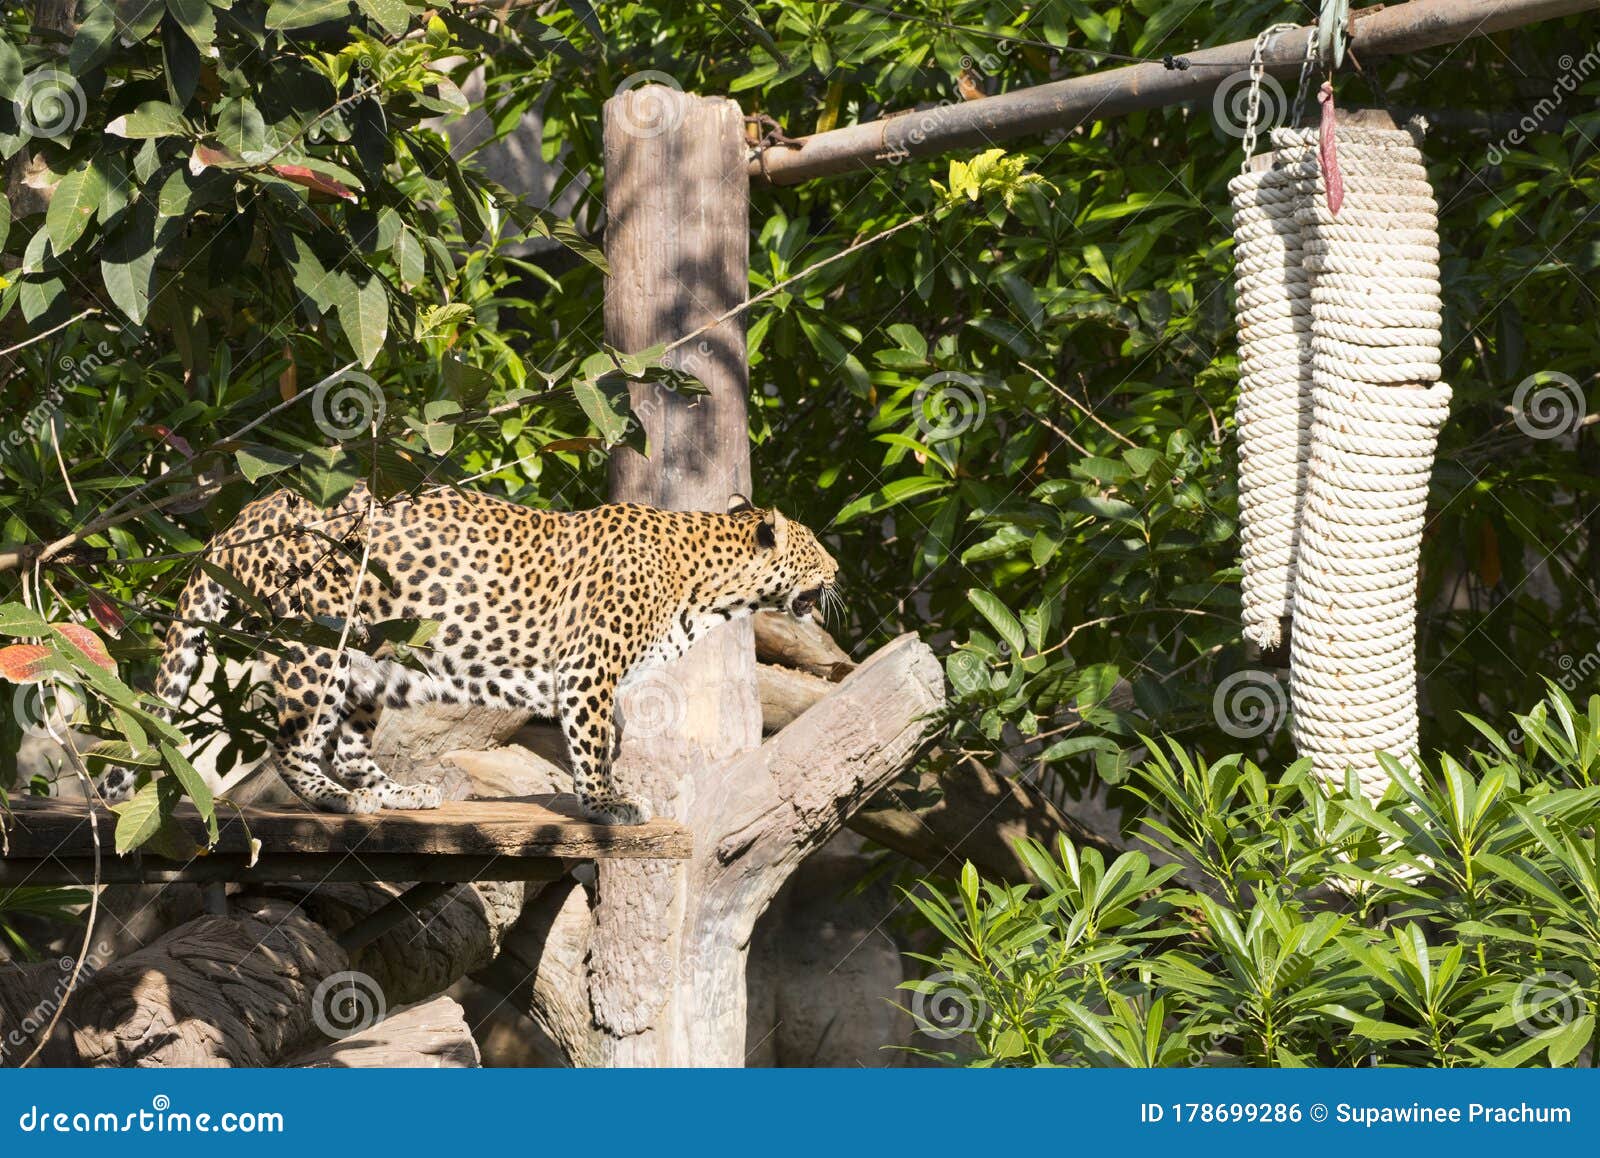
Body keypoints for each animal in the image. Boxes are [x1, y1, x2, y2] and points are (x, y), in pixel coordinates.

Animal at [99, 483, 839, 824]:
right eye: (813, 548)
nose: (839, 573)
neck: (710, 587)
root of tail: (250, 512)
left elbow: (613, 734)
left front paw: (611, 787)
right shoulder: (588, 670)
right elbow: (592, 739)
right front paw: (606, 803)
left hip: (371, 662)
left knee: (349, 745)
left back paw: (399, 794)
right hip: (316, 645)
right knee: (292, 742)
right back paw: (336, 801)